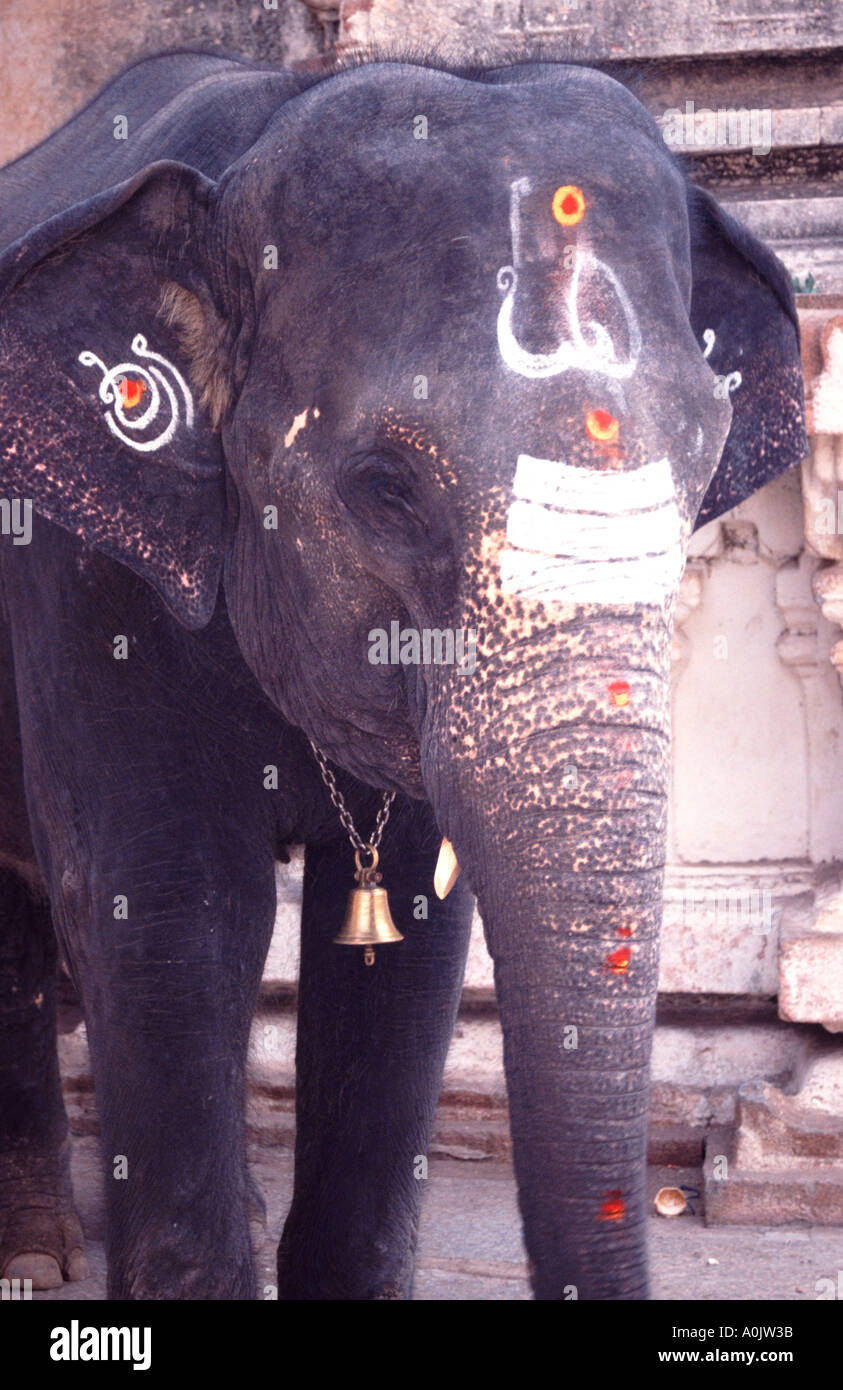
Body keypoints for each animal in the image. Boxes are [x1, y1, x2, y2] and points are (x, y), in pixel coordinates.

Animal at [0, 48, 807, 1301]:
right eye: (387, 489)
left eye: (705, 456)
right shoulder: (85, 575)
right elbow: (171, 909)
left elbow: (413, 934)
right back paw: (38, 1250)